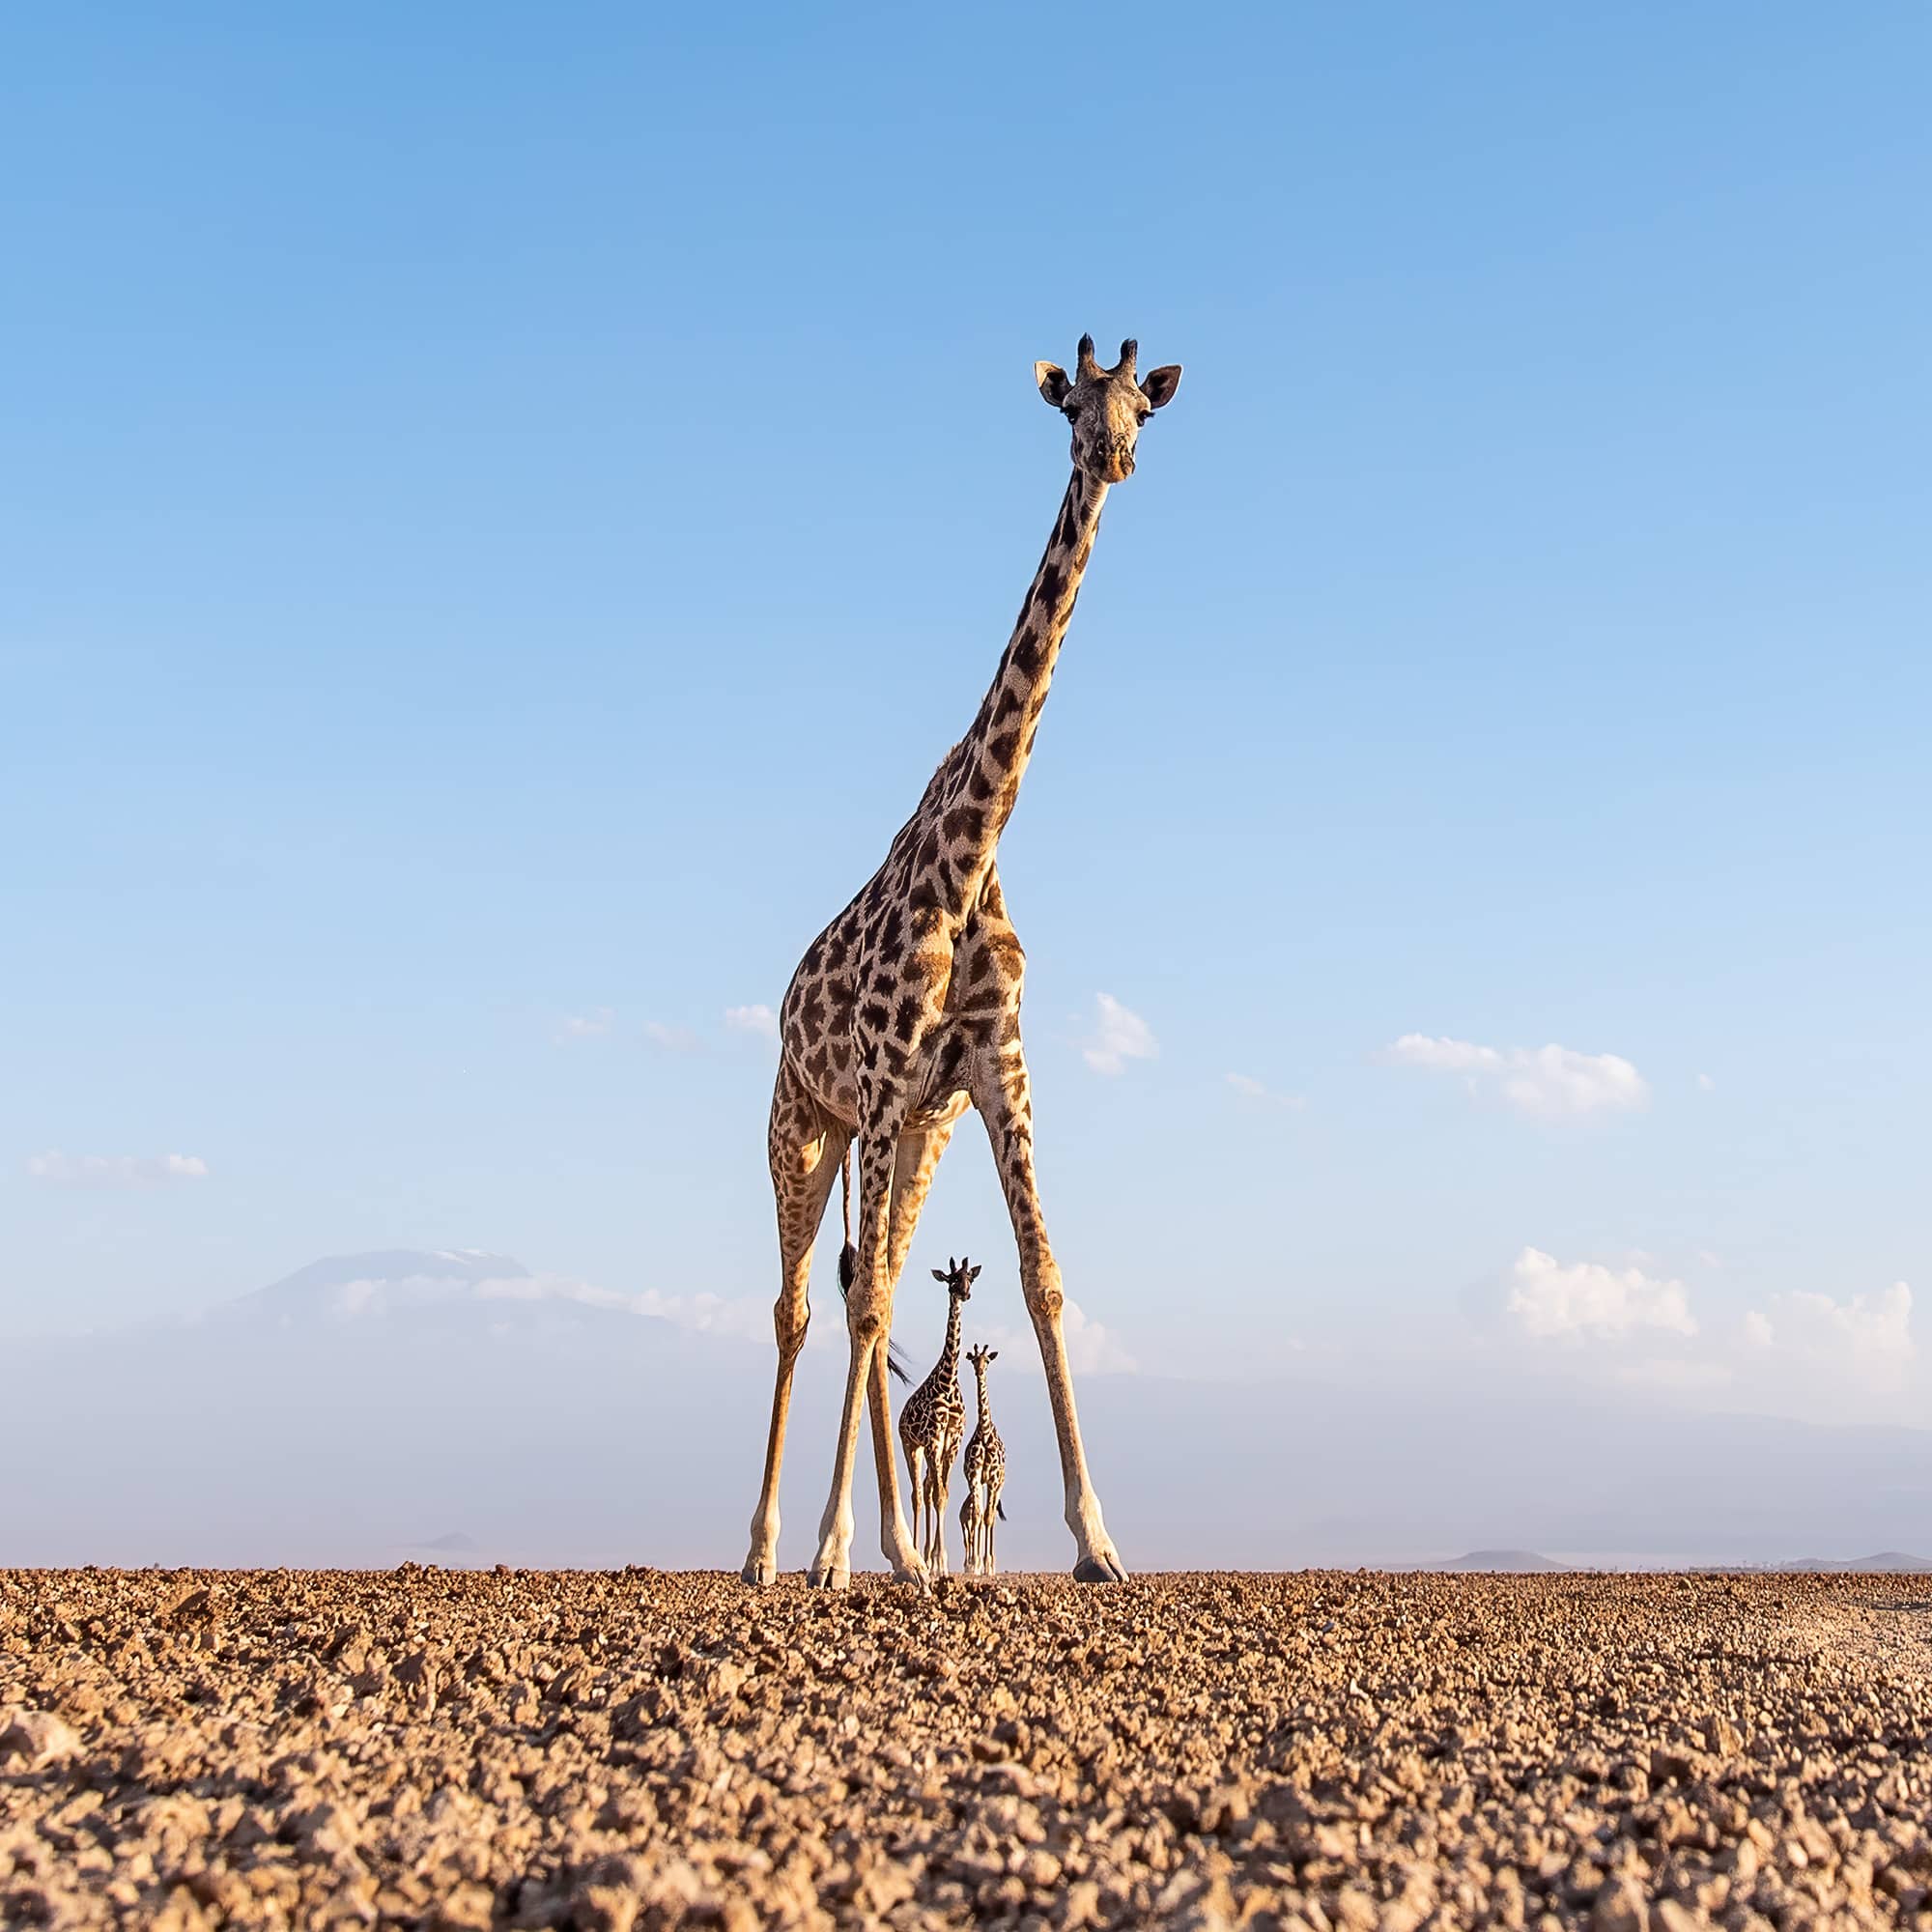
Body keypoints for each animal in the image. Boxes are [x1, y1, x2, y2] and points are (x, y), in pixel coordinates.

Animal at [896, 1255, 978, 1574]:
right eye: (953, 1279)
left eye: (970, 1277)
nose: (965, 1294)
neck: (948, 1382)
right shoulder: (931, 1438)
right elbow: (936, 1495)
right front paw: (937, 1563)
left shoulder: (952, 1440)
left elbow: (943, 1494)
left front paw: (939, 1562)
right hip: (910, 1445)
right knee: (917, 1494)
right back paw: (917, 1553)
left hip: (933, 1448)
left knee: (928, 1488)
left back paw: (926, 1556)